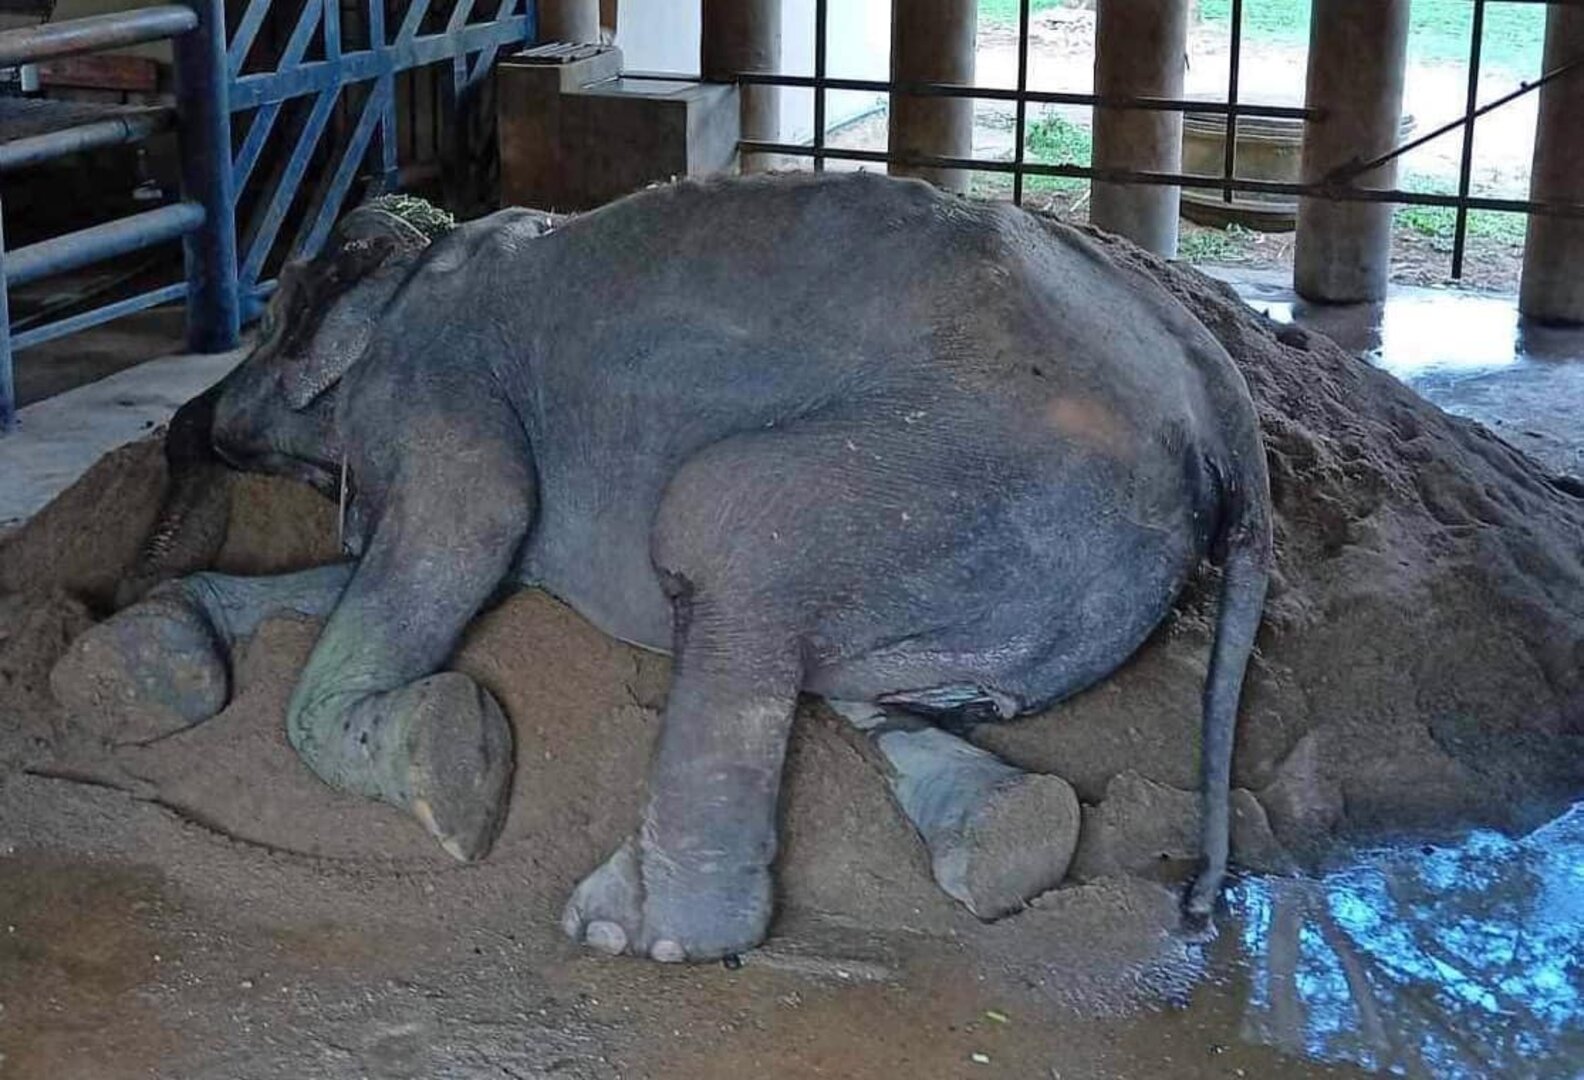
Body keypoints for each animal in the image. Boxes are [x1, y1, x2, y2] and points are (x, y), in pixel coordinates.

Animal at [57, 172, 1271, 962]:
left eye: (263, 322)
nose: (189, 427)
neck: (413, 268)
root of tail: (1221, 405)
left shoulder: (442, 383)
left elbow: (475, 521)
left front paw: (456, 762)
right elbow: (453, 573)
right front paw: (142, 656)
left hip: (971, 465)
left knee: (723, 528)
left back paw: (637, 931)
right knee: (858, 676)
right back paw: (1011, 838)